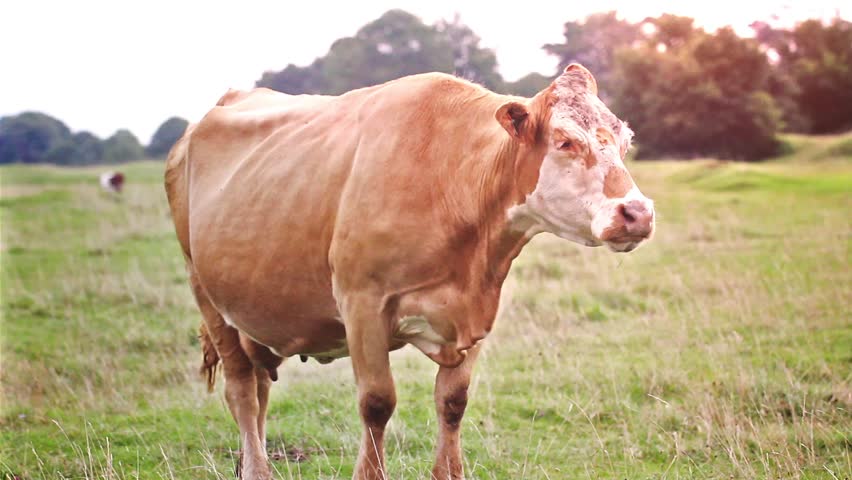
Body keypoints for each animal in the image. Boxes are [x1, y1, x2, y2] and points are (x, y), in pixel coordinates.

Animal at [164, 64, 654, 480]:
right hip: (206, 295)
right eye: (565, 141)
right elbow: (377, 403)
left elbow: (453, 402)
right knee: (243, 393)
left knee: (260, 389)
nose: (637, 212)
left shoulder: (475, 313)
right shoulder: (362, 305)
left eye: (625, 142)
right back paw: (257, 469)